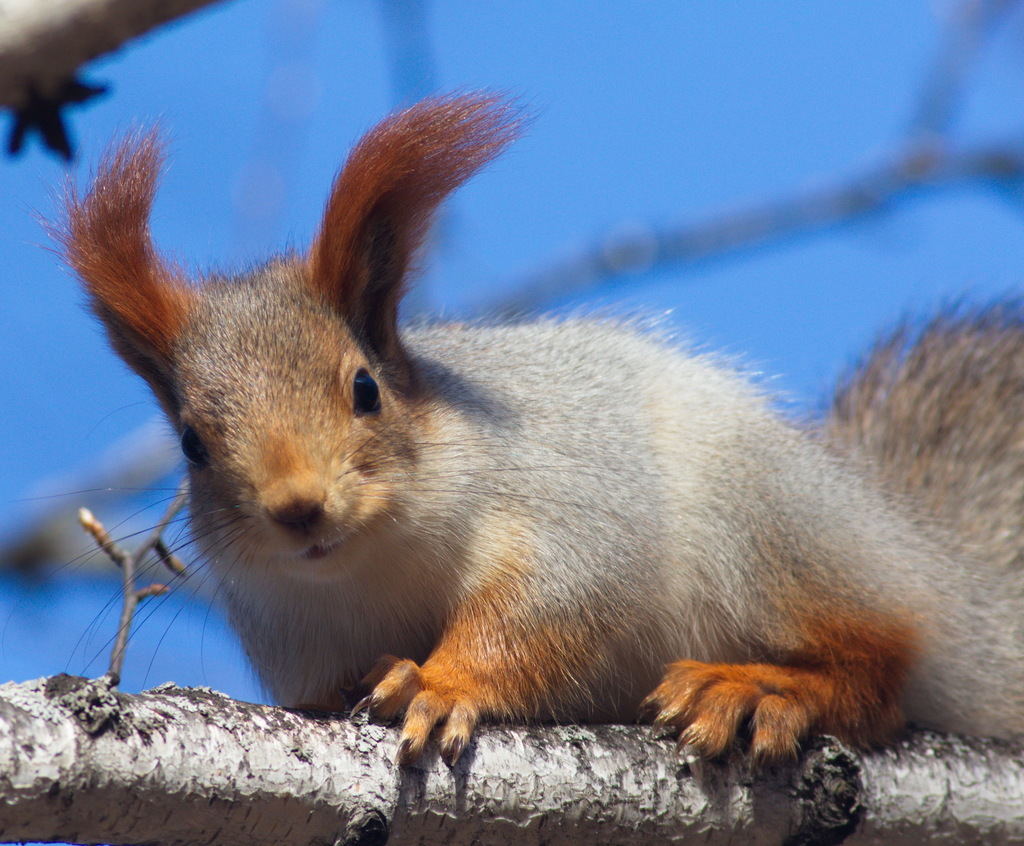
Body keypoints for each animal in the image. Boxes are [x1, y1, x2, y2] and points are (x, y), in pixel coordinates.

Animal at [55, 93, 1024, 767]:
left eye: (366, 389)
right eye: (191, 442)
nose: (298, 509)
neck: (373, 567)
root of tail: (922, 554)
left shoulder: (570, 511)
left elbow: (549, 614)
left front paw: (440, 681)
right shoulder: (296, 636)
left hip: (765, 531)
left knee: (884, 660)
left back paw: (761, 691)